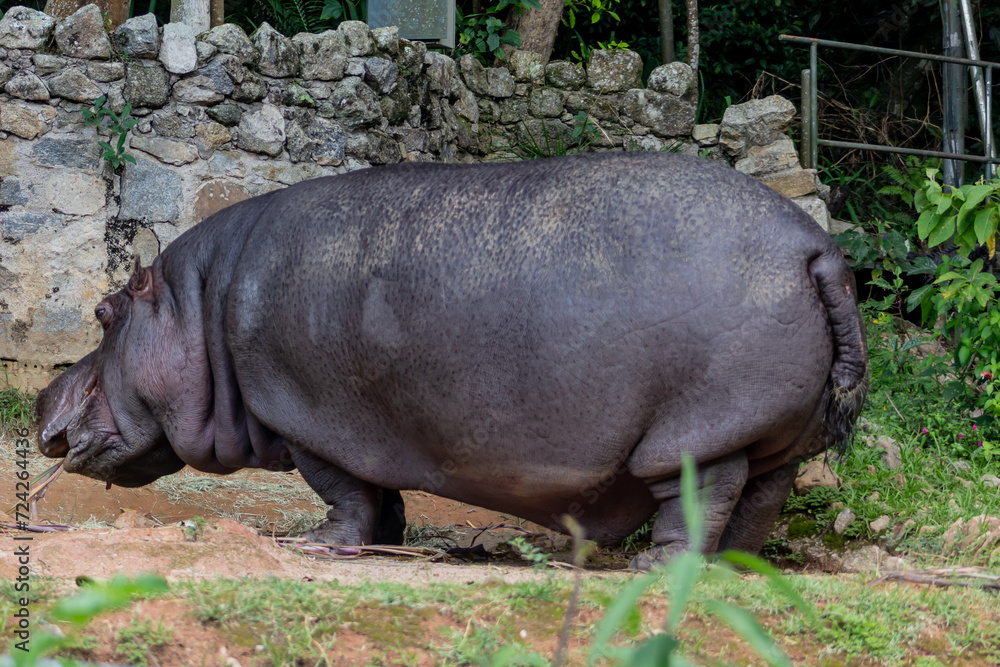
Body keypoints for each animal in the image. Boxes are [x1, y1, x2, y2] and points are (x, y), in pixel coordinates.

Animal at [36, 152, 867, 569]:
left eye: (103, 312)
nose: (43, 402)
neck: (198, 305)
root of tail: (817, 247)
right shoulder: (360, 425)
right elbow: (380, 491)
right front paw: (391, 540)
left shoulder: (306, 415)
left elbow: (341, 490)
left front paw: (321, 546)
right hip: (777, 431)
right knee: (758, 497)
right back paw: (734, 569)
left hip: (700, 428)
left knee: (703, 496)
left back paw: (658, 570)